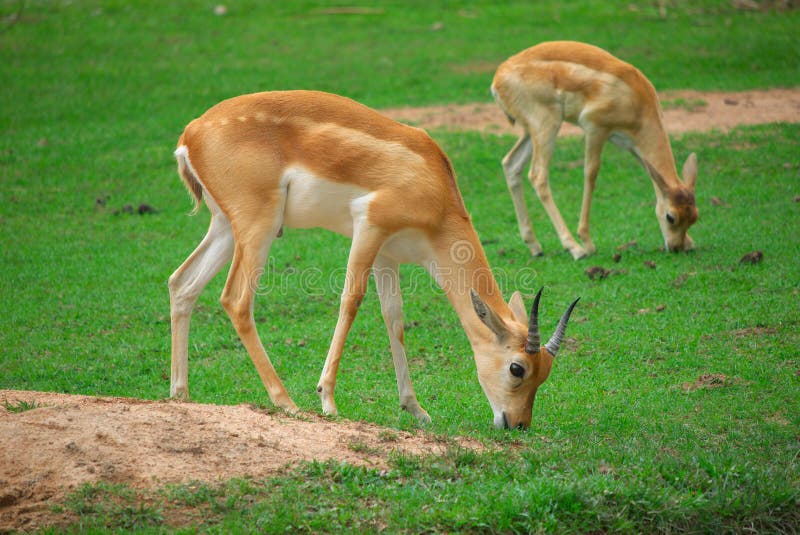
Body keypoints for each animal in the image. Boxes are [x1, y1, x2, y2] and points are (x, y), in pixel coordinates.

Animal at [168, 90, 579, 429]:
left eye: (546, 372)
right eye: (517, 368)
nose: (518, 423)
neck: (433, 181)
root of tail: (191, 133)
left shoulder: (387, 254)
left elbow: (393, 318)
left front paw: (416, 409)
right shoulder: (369, 225)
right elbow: (351, 301)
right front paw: (328, 401)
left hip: (224, 227)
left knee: (181, 283)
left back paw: (181, 395)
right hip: (259, 226)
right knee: (236, 300)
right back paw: (287, 402)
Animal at [491, 40, 699, 260]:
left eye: (694, 216)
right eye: (671, 217)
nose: (676, 247)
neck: (637, 99)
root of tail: (499, 76)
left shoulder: (633, 147)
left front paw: (690, 241)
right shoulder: (595, 129)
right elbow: (591, 174)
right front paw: (587, 242)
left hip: (531, 132)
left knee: (511, 164)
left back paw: (535, 246)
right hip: (547, 125)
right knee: (538, 176)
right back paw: (575, 249)